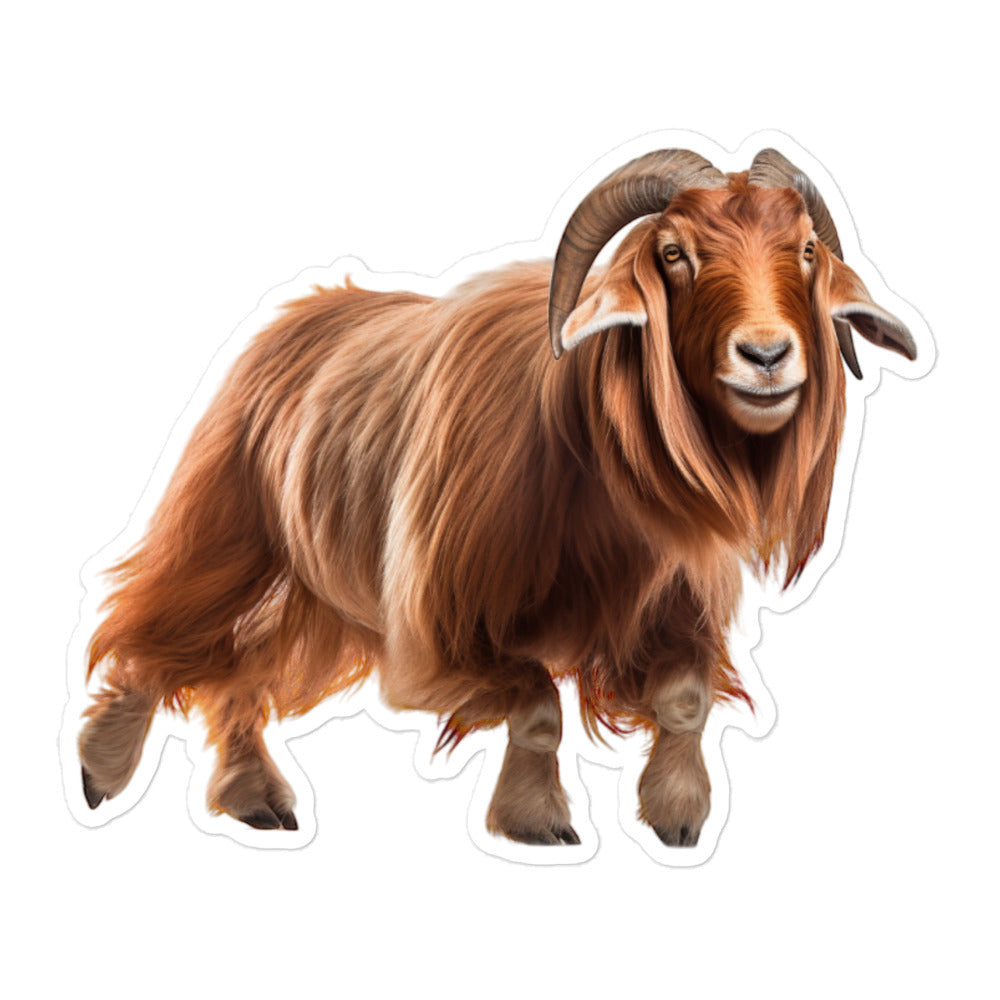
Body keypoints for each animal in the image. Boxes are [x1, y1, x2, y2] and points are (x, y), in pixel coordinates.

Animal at [77, 148, 917, 847]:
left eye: (805, 251)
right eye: (675, 253)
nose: (768, 355)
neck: (595, 465)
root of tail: (295, 323)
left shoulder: (672, 604)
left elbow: (683, 700)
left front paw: (678, 816)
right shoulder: (436, 634)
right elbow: (537, 704)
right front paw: (537, 820)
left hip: (313, 596)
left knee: (242, 672)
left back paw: (255, 799)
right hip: (231, 534)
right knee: (158, 631)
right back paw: (100, 769)